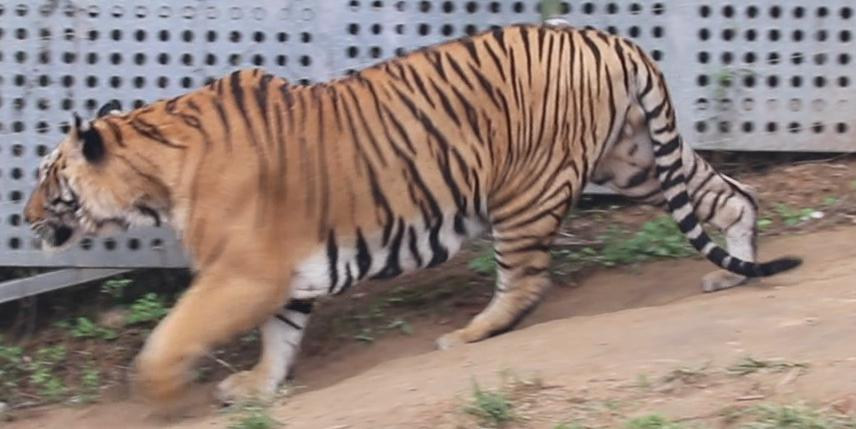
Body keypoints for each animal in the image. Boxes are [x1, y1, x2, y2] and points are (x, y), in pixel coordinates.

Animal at [23, 23, 801, 406]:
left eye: (47, 176)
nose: (26, 214)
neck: (153, 167)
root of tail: (607, 37)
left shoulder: (242, 270)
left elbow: (176, 329)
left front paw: (155, 390)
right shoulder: (278, 273)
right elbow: (280, 337)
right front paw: (258, 387)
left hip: (526, 187)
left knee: (527, 281)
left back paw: (465, 335)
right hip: (633, 160)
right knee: (730, 192)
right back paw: (732, 272)